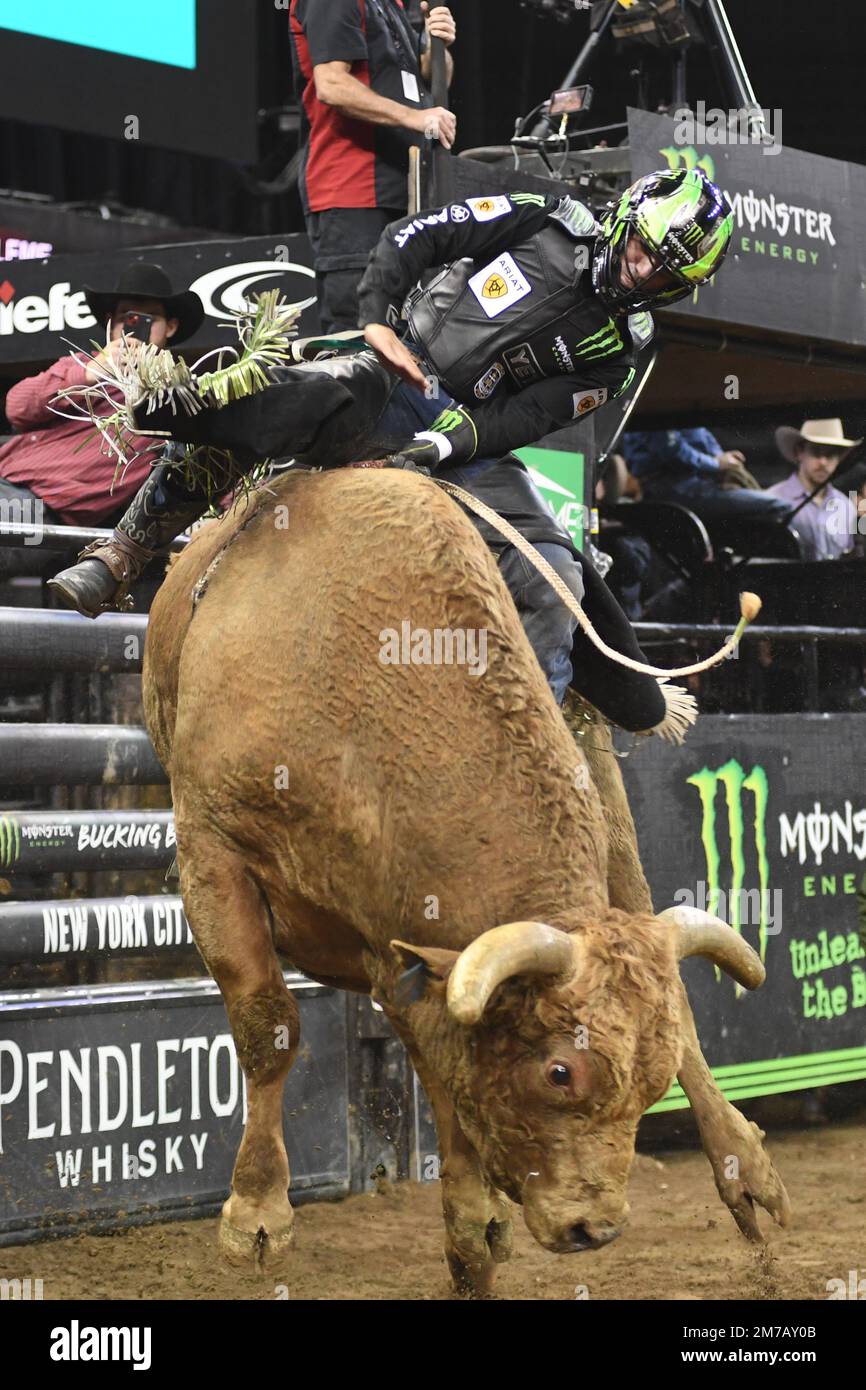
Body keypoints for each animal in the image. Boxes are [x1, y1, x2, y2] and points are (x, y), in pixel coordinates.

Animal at [143, 466, 790, 1296]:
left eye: (646, 1092)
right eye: (559, 1071)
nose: (595, 1228)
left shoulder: (405, 943)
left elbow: (446, 1057)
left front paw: (474, 1222)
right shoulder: (212, 847)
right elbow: (269, 1021)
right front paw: (258, 1214)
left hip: (606, 794)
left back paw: (746, 1169)